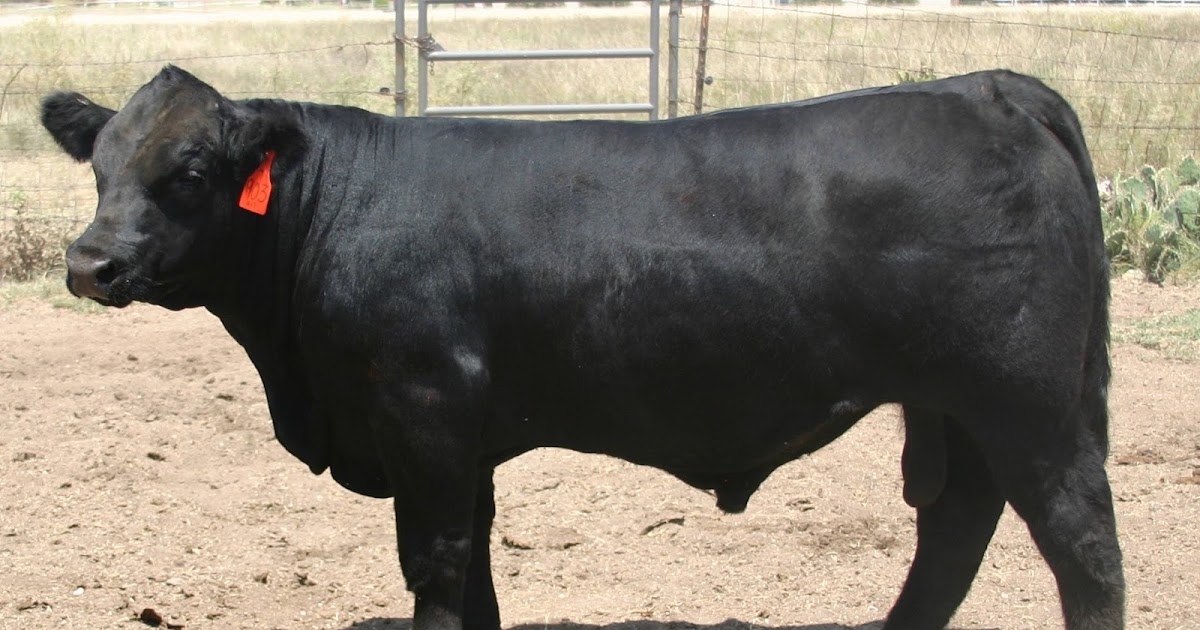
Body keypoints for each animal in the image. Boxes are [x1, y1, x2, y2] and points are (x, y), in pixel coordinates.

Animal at [41, 66, 1123, 630]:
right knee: (954, 528)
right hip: (961, 408)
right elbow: (475, 558)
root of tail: (990, 86)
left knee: (1083, 549)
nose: (91, 263)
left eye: (188, 172)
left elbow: (435, 561)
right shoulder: (460, 439)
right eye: (98, 166)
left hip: (1028, 409)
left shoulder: (423, 413)